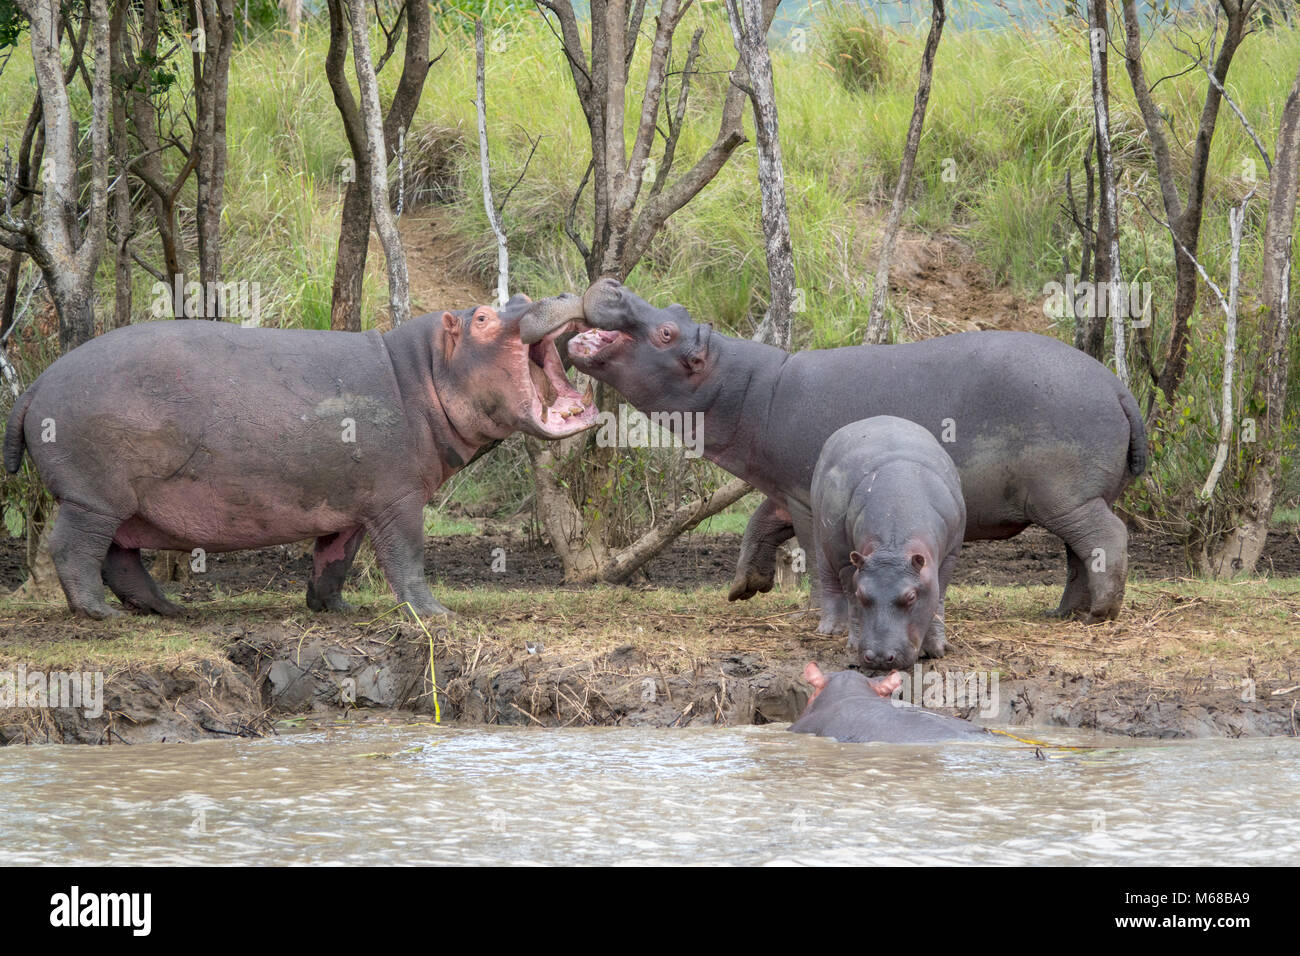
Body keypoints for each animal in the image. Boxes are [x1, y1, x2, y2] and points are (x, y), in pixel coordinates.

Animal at [3, 294, 593, 619]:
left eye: (520, 293)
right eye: (484, 318)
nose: (565, 291)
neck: (423, 371)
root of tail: (36, 384)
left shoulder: (352, 505)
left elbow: (334, 559)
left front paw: (337, 609)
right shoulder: (398, 499)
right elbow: (406, 557)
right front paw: (435, 614)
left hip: (123, 504)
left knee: (119, 559)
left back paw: (168, 610)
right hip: (94, 497)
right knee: (75, 550)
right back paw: (100, 615)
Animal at [552, 279, 1146, 623]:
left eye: (667, 331)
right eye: (675, 309)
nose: (613, 283)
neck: (744, 388)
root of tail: (1119, 388)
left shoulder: (804, 494)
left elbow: (811, 550)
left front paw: (815, 616)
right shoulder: (785, 485)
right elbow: (760, 524)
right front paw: (744, 588)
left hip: (1065, 495)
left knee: (1105, 539)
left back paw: (1099, 614)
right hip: (1075, 497)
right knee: (1079, 555)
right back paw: (1063, 614)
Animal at [812, 416, 966, 669]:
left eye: (911, 597)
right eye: (862, 593)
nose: (880, 658)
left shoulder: (950, 555)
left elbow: (939, 599)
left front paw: (937, 649)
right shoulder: (846, 561)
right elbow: (853, 603)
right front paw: (852, 645)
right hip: (822, 535)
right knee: (828, 581)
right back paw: (830, 630)